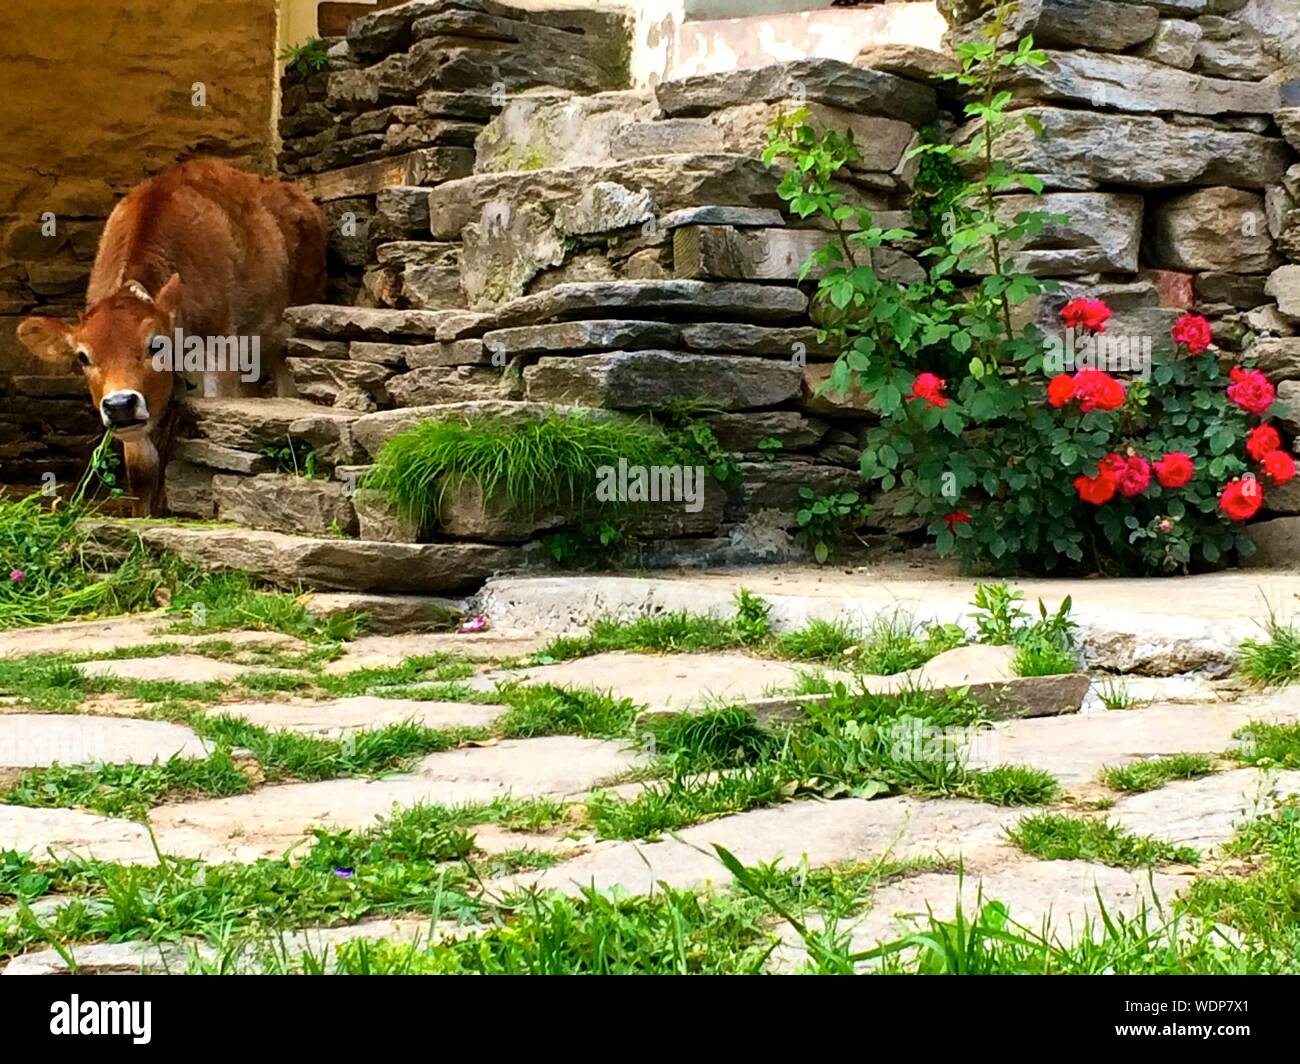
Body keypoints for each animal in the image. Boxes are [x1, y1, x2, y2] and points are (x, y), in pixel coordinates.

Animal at [16, 159, 327, 515]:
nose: (119, 404)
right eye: (83, 356)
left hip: (286, 328)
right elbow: (142, 467)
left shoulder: (220, 349)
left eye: (155, 343)